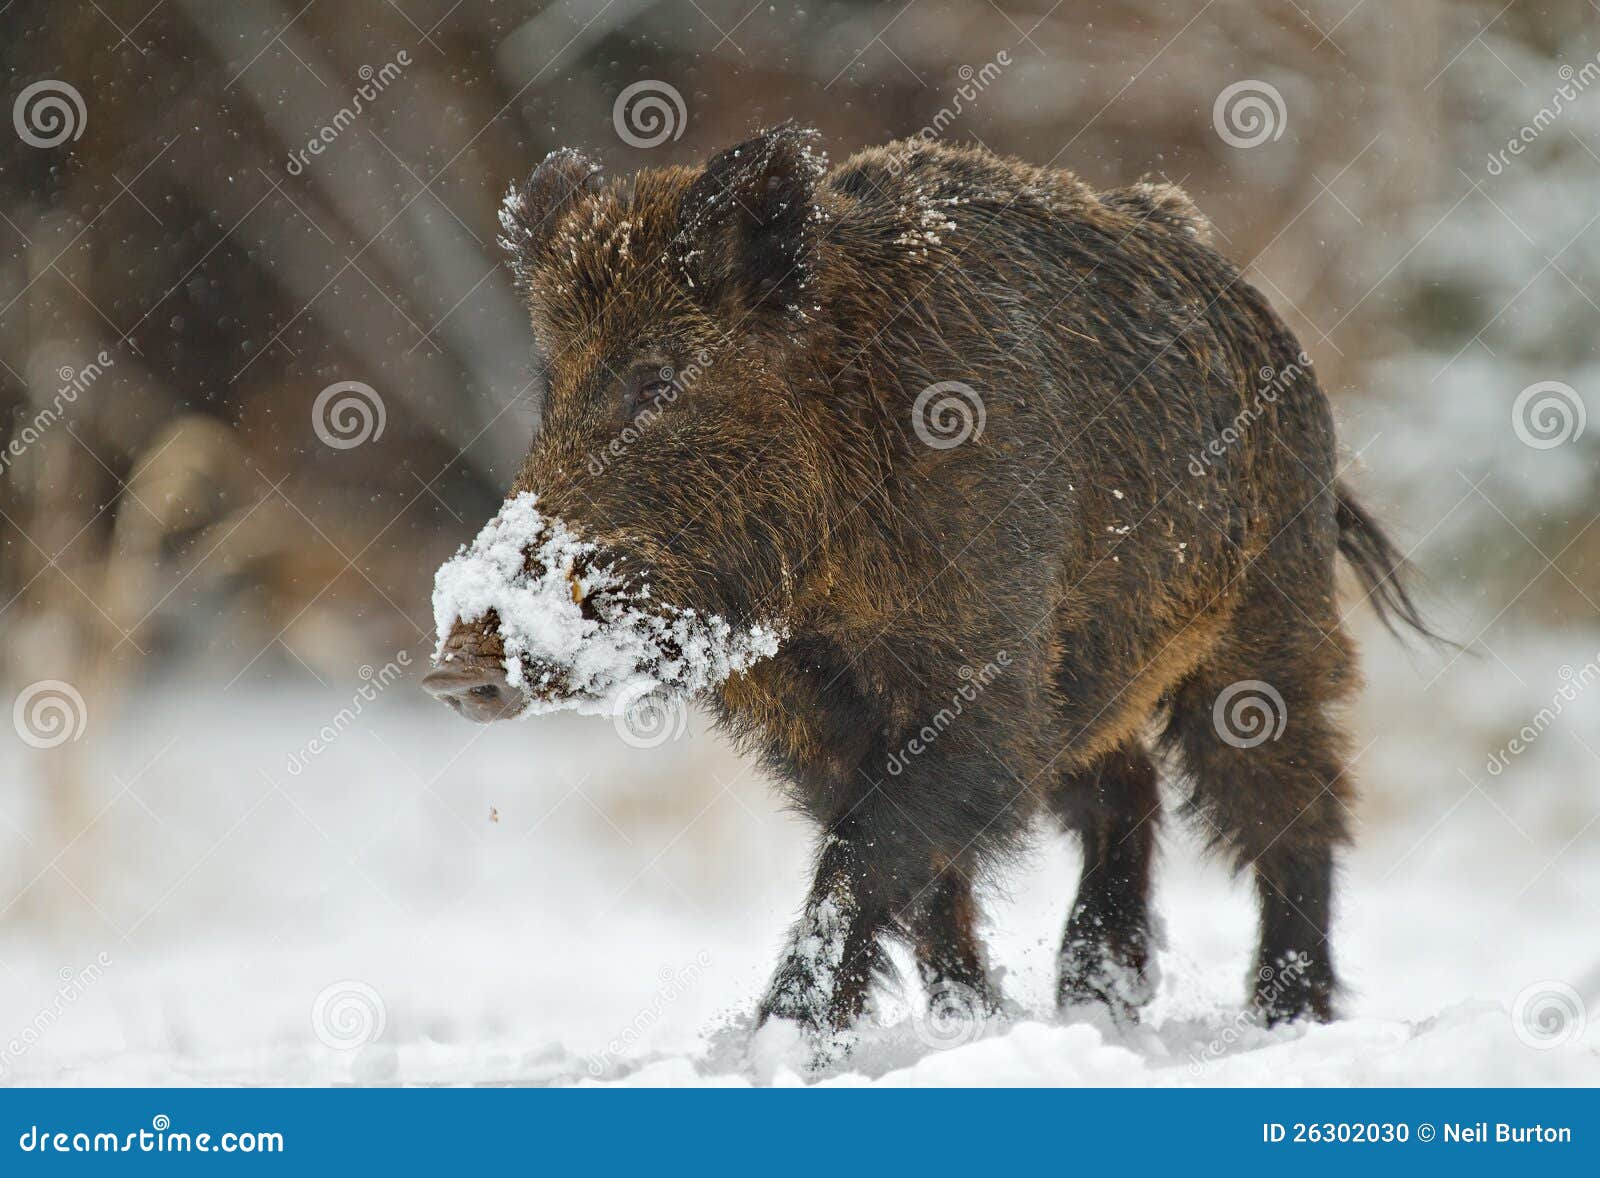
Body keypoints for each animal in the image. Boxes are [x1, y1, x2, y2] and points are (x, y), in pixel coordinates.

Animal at [423, 125, 1432, 1062]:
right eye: (550, 392)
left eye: (656, 379)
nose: (456, 663)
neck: (823, 602)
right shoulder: (813, 722)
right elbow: (902, 866)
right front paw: (966, 1026)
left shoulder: (979, 670)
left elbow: (876, 852)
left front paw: (778, 1045)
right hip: (1089, 666)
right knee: (1127, 786)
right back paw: (1092, 1003)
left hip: (1264, 624)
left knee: (1294, 802)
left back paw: (1284, 1021)